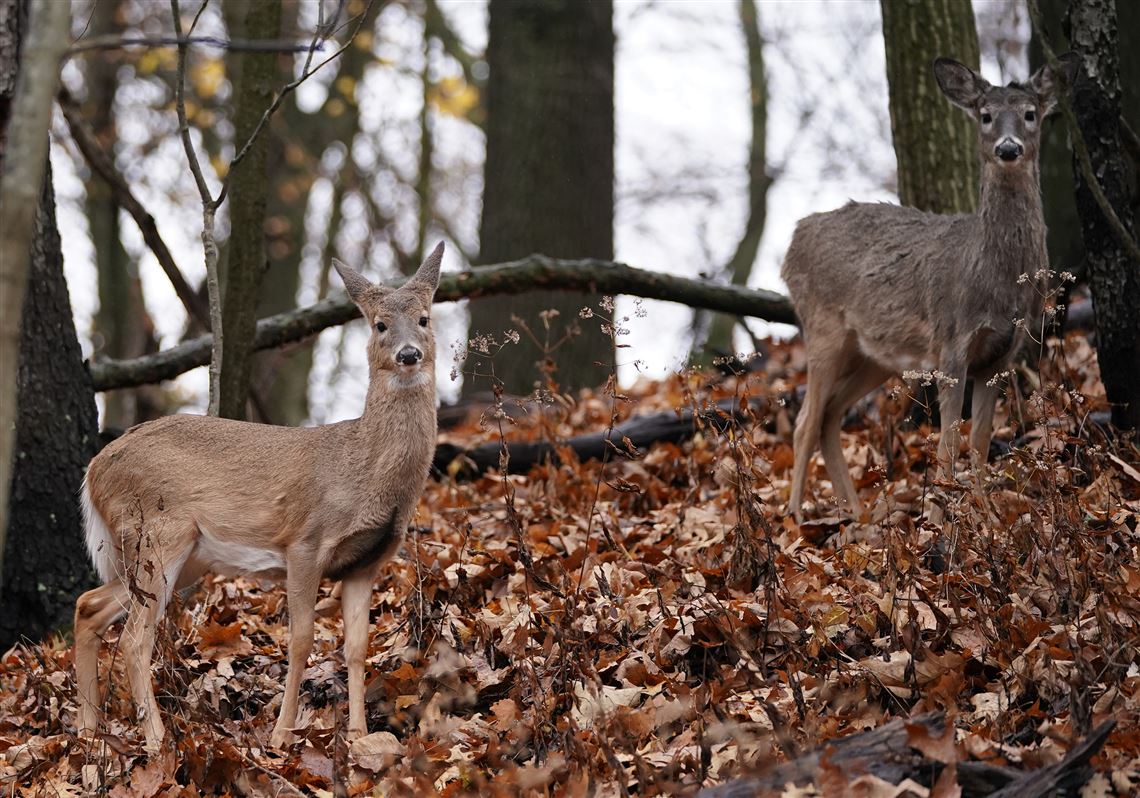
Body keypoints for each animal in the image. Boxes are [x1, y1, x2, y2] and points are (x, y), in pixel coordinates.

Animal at [73, 243, 444, 751]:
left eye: (425, 318)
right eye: (379, 324)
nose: (409, 354)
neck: (362, 470)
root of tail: (93, 469)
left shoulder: (365, 563)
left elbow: (356, 647)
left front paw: (359, 737)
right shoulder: (306, 542)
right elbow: (302, 639)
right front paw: (282, 736)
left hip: (180, 556)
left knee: (89, 606)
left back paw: (88, 733)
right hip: (158, 534)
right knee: (134, 639)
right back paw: (157, 740)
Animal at [782, 55, 1079, 522]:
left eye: (1031, 113)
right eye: (985, 115)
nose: (1008, 148)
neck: (993, 279)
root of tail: (793, 240)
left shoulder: (1002, 354)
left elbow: (978, 441)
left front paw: (985, 516)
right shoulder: (952, 344)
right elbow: (947, 444)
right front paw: (939, 520)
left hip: (873, 354)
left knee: (829, 414)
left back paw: (856, 513)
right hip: (821, 325)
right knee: (805, 420)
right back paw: (794, 516)